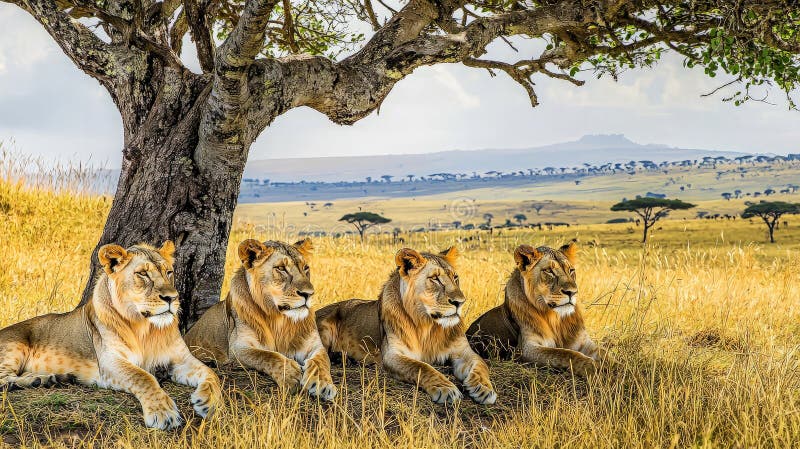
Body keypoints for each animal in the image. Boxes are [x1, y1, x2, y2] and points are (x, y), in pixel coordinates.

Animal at [0, 241, 221, 430]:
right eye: (143, 274)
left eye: (169, 272)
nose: (172, 298)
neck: (146, 329)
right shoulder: (109, 361)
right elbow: (143, 377)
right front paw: (163, 413)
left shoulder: (181, 359)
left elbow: (211, 374)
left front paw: (210, 403)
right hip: (14, 347)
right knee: (4, 380)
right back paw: (41, 380)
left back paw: (49, 379)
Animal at [184, 238, 336, 401]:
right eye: (281, 268)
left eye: (306, 268)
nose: (309, 294)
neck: (280, 320)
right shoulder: (237, 348)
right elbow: (267, 355)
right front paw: (290, 374)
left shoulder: (314, 345)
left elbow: (321, 361)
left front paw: (322, 384)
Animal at [316, 247, 496, 405]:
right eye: (435, 278)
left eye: (455, 278)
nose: (460, 302)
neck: (429, 326)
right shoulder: (392, 354)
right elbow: (421, 367)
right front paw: (446, 389)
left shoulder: (463, 351)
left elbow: (481, 365)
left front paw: (484, 389)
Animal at [466, 242, 603, 376]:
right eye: (549, 271)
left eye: (571, 270)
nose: (572, 292)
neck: (557, 319)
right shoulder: (526, 349)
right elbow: (564, 354)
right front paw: (591, 367)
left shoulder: (583, 341)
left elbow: (604, 353)